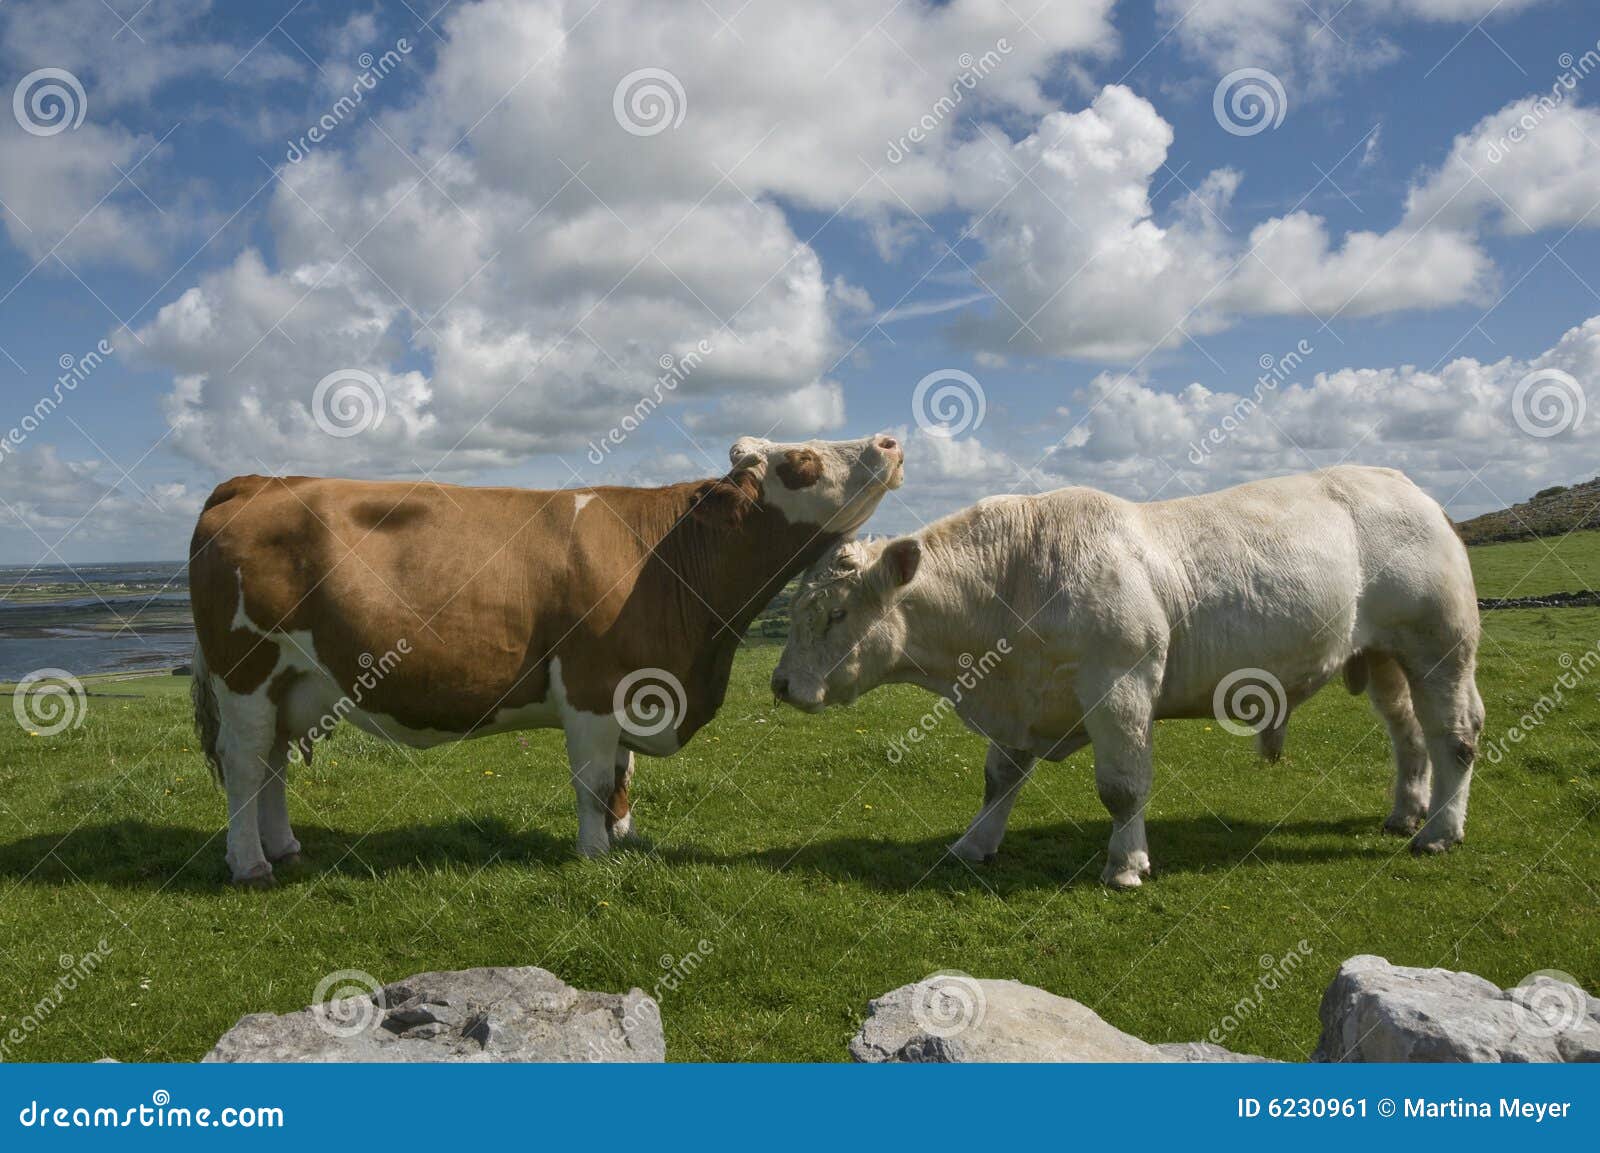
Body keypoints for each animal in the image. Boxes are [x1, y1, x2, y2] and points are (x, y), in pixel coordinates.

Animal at [189, 433, 904, 885]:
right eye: (803, 460)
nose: (890, 442)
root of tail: (254, 483)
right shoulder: (591, 686)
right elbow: (592, 780)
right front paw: (594, 854)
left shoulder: (635, 688)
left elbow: (622, 773)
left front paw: (624, 838)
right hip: (245, 669)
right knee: (245, 766)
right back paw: (249, 865)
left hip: (289, 681)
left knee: (273, 764)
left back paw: (284, 848)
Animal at [772, 466, 1484, 888]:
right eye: (796, 607)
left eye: (836, 613)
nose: (780, 685)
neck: (1016, 576)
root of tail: (1407, 487)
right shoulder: (1018, 699)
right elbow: (999, 779)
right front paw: (975, 844)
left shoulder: (1121, 685)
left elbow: (1122, 787)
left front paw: (1125, 863)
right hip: (1386, 657)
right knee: (1408, 734)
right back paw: (1406, 813)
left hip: (1441, 647)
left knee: (1454, 735)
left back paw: (1440, 832)